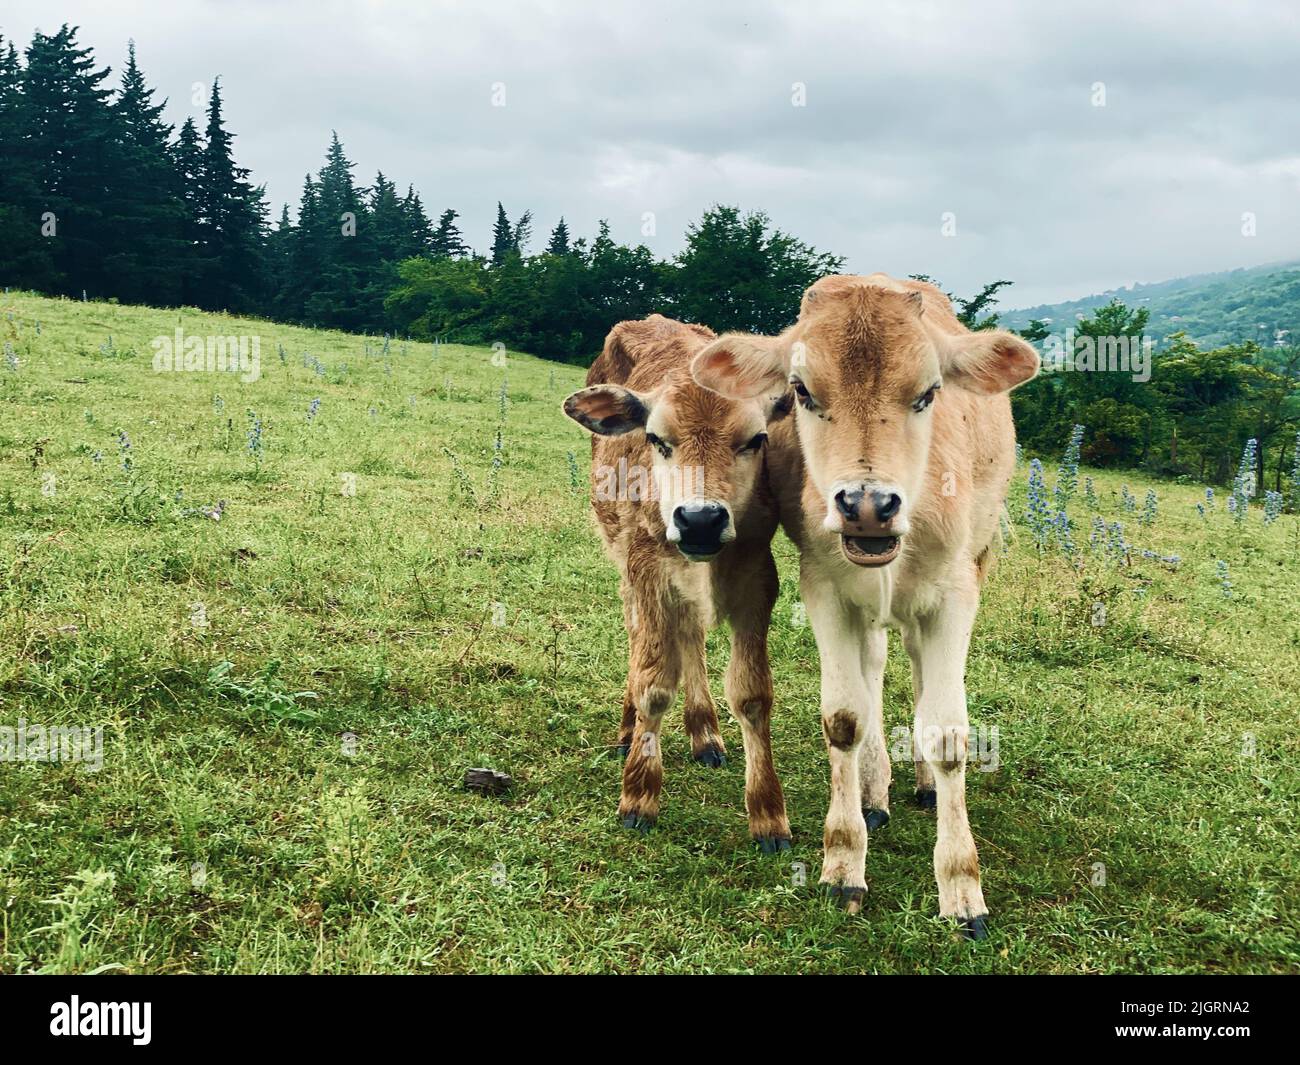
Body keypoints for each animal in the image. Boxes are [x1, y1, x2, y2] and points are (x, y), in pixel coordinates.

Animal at [562, 314, 794, 851]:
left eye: (755, 439)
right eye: (657, 439)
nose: (701, 520)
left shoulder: (758, 576)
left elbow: (752, 693)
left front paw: (768, 814)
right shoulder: (645, 566)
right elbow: (653, 682)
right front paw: (638, 793)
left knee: (689, 633)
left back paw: (704, 731)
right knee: (639, 638)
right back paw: (629, 728)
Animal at [691, 274, 1039, 937]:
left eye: (929, 392)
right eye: (801, 390)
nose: (868, 506)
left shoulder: (958, 590)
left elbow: (947, 730)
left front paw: (962, 889)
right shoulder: (823, 586)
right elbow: (844, 718)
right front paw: (843, 863)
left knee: (920, 670)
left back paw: (923, 787)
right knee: (876, 665)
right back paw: (875, 793)